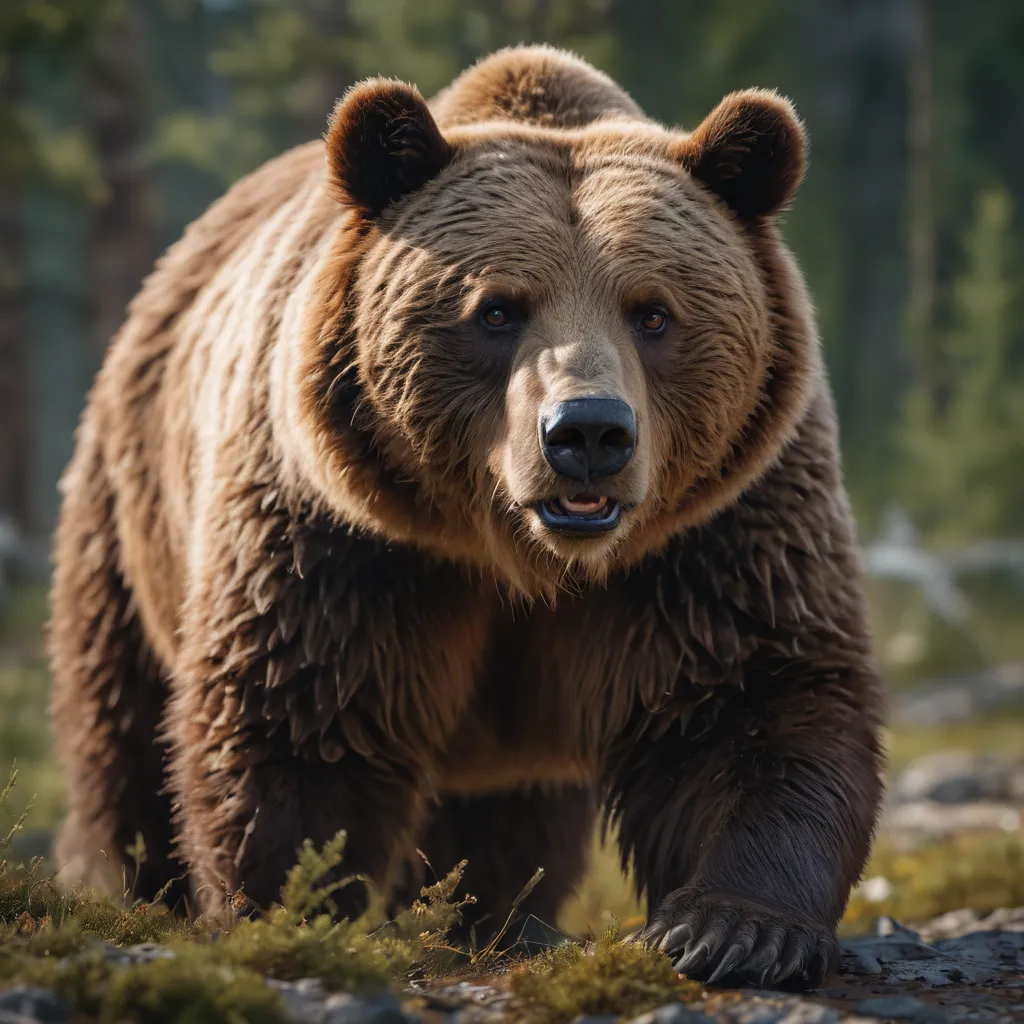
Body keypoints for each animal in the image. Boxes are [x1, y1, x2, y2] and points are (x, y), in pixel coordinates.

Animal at [48, 45, 884, 989]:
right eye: (496, 307)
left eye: (654, 310)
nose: (587, 434)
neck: (519, 557)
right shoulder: (343, 538)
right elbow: (299, 712)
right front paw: (292, 909)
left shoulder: (716, 531)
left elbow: (750, 699)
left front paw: (732, 930)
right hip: (128, 513)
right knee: (120, 731)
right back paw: (129, 883)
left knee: (509, 821)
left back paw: (498, 917)